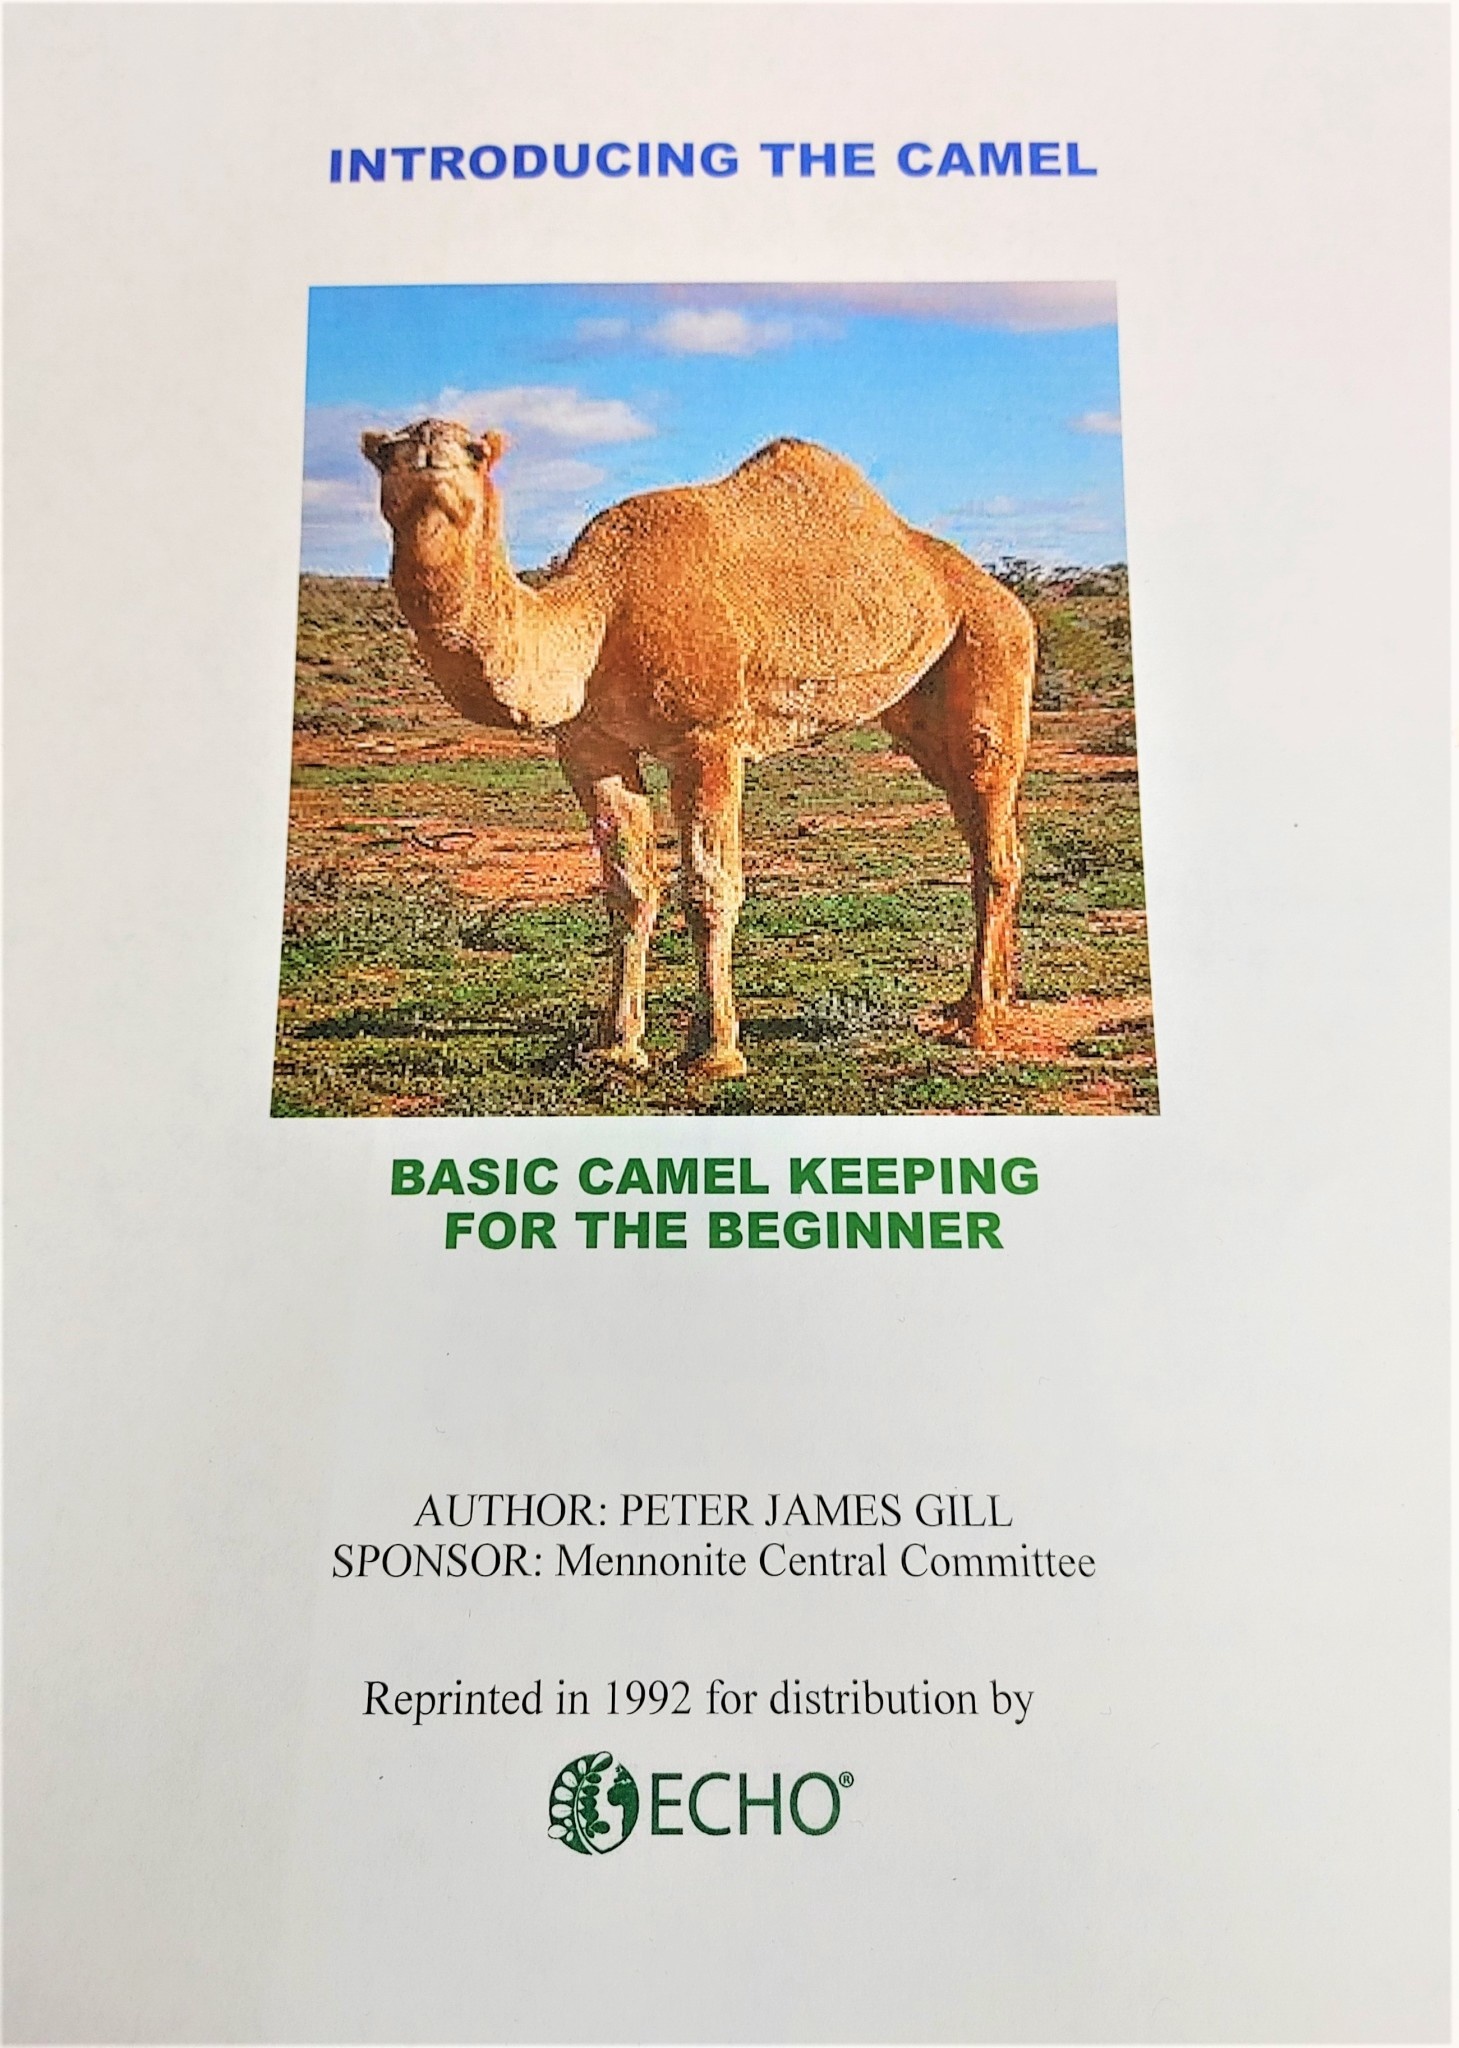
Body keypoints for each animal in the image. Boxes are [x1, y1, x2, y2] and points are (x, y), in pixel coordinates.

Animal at [362, 418, 1036, 1080]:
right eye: (385, 452)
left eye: (476, 451)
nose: (429, 453)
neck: (600, 614)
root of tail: (1008, 599)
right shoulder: (588, 746)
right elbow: (629, 885)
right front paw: (616, 1045)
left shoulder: (706, 737)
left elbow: (710, 887)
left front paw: (714, 1050)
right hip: (921, 710)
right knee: (985, 826)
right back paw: (991, 1001)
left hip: (991, 645)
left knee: (993, 839)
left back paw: (976, 1018)